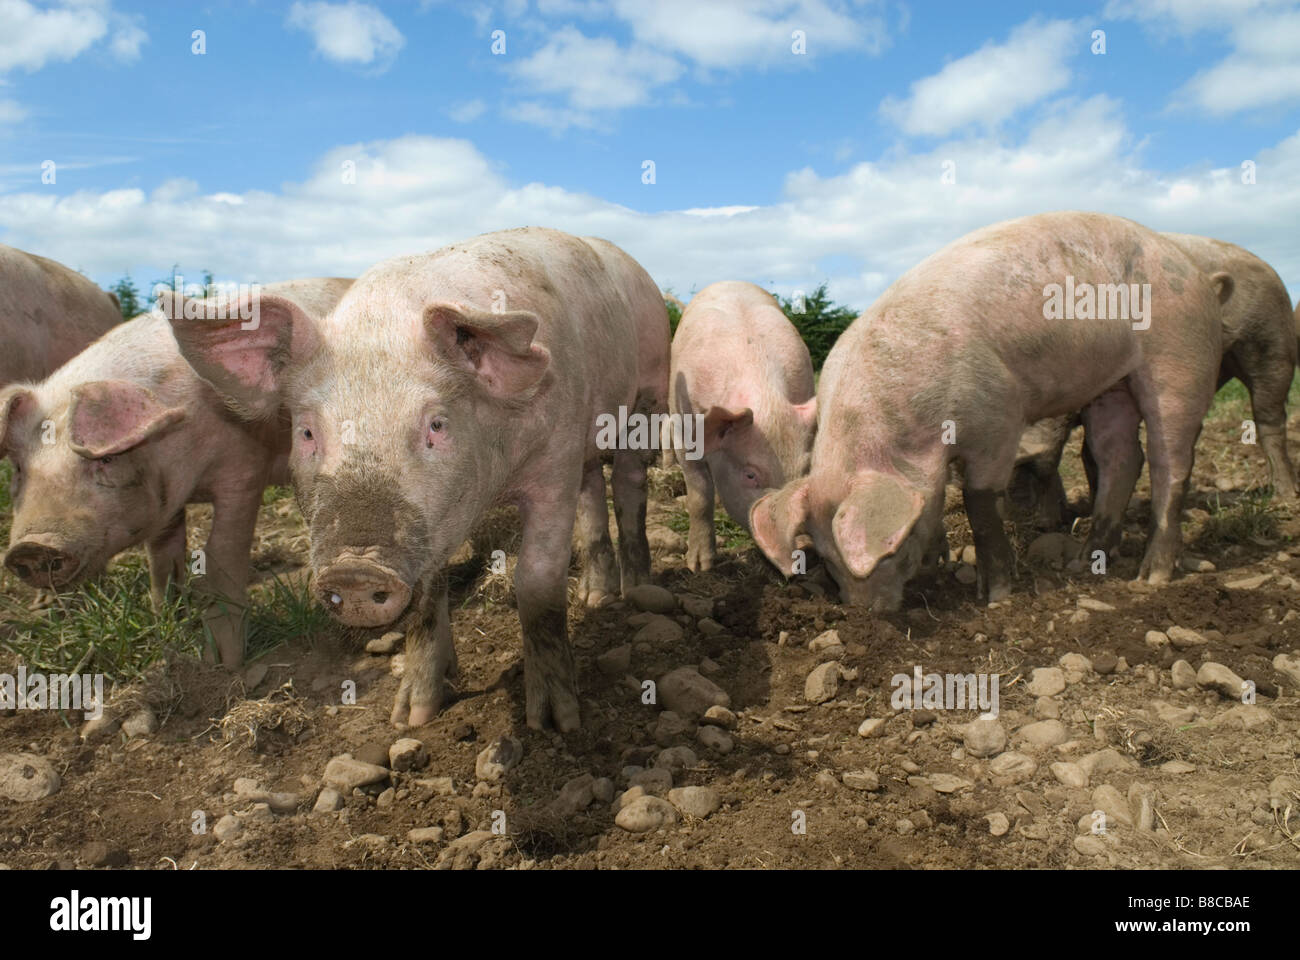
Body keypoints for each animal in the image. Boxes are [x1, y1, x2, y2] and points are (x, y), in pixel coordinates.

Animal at [0, 278, 353, 665]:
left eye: (105, 460)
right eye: (19, 467)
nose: (31, 547)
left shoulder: (244, 470)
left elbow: (222, 550)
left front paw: (223, 661)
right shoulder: (165, 500)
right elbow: (162, 556)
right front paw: (164, 620)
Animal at [160, 228, 669, 731]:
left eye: (437, 425)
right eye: (306, 432)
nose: (354, 570)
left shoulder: (555, 462)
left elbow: (537, 582)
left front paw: (554, 724)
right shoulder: (433, 523)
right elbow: (427, 603)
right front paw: (412, 717)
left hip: (646, 397)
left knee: (628, 486)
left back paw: (638, 595)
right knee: (593, 491)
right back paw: (596, 599)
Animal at [667, 281, 816, 571]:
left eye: (806, 470)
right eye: (750, 475)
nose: (806, 546)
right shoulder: (682, 429)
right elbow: (699, 495)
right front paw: (700, 566)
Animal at [749, 211, 1230, 611]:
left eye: (892, 551)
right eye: (828, 561)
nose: (869, 615)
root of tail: (1195, 270)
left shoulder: (1000, 417)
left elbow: (979, 501)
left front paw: (995, 596)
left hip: (1179, 355)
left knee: (1171, 460)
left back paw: (1151, 578)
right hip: (1111, 384)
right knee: (1122, 456)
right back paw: (1084, 562)